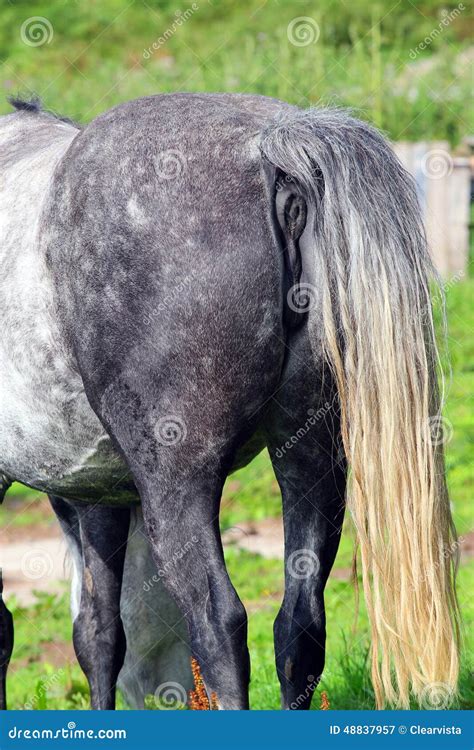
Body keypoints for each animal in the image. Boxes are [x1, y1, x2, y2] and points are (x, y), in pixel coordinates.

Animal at [0, 92, 459, 710]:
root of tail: (273, 147)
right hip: (310, 456)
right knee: (299, 624)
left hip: (180, 481)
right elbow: (102, 632)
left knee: (218, 622)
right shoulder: (98, 491)